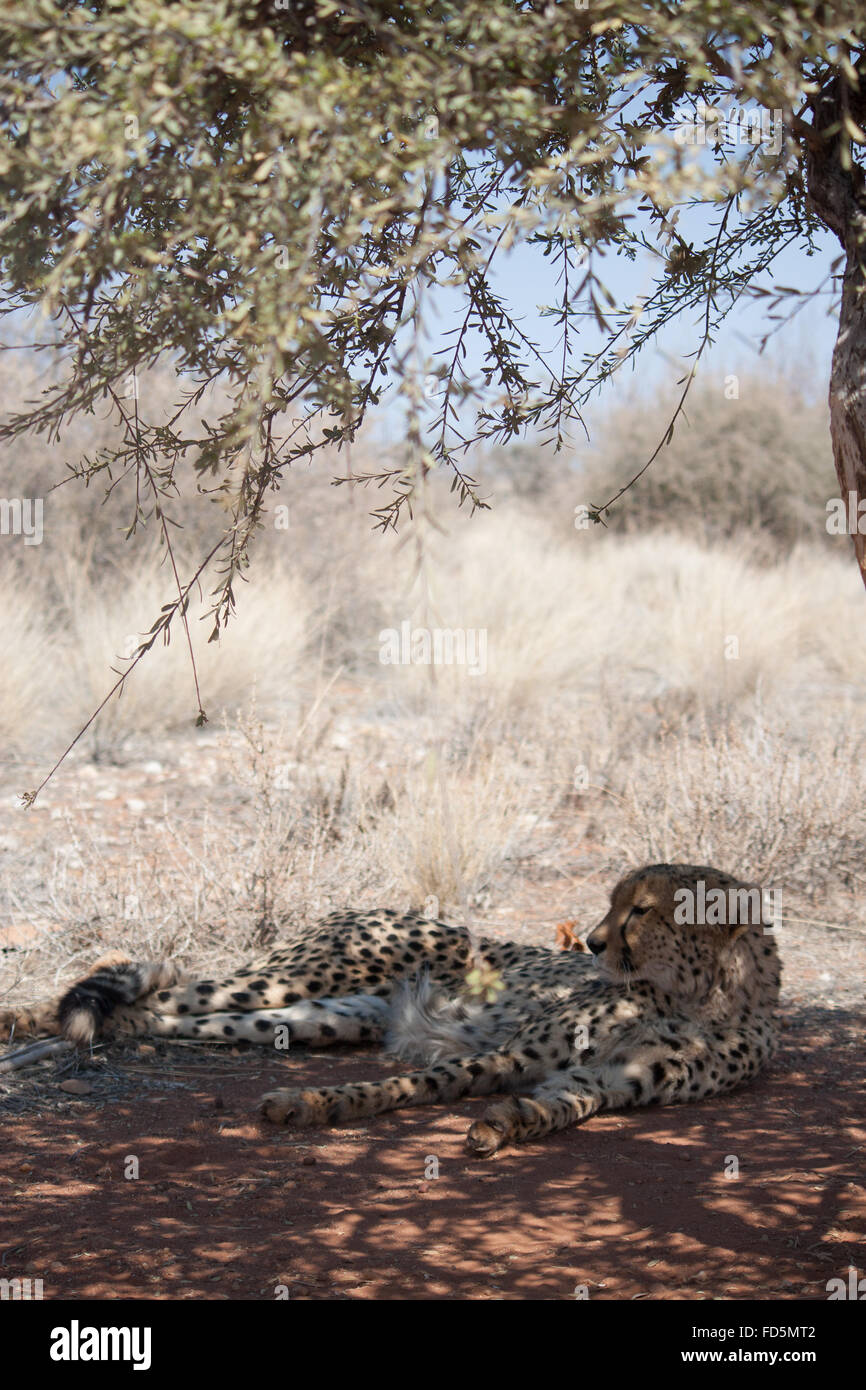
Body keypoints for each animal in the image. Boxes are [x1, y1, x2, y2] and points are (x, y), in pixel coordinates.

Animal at [0, 863, 780, 1155]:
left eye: (640, 910)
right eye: (616, 903)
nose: (590, 942)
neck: (694, 999)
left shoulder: (612, 1079)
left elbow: (565, 1106)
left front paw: (509, 1122)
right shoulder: (514, 1050)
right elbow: (413, 1082)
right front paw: (316, 1106)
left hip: (313, 1016)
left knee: (168, 1017)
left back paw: (96, 1034)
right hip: (290, 979)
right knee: (169, 987)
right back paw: (25, 1025)